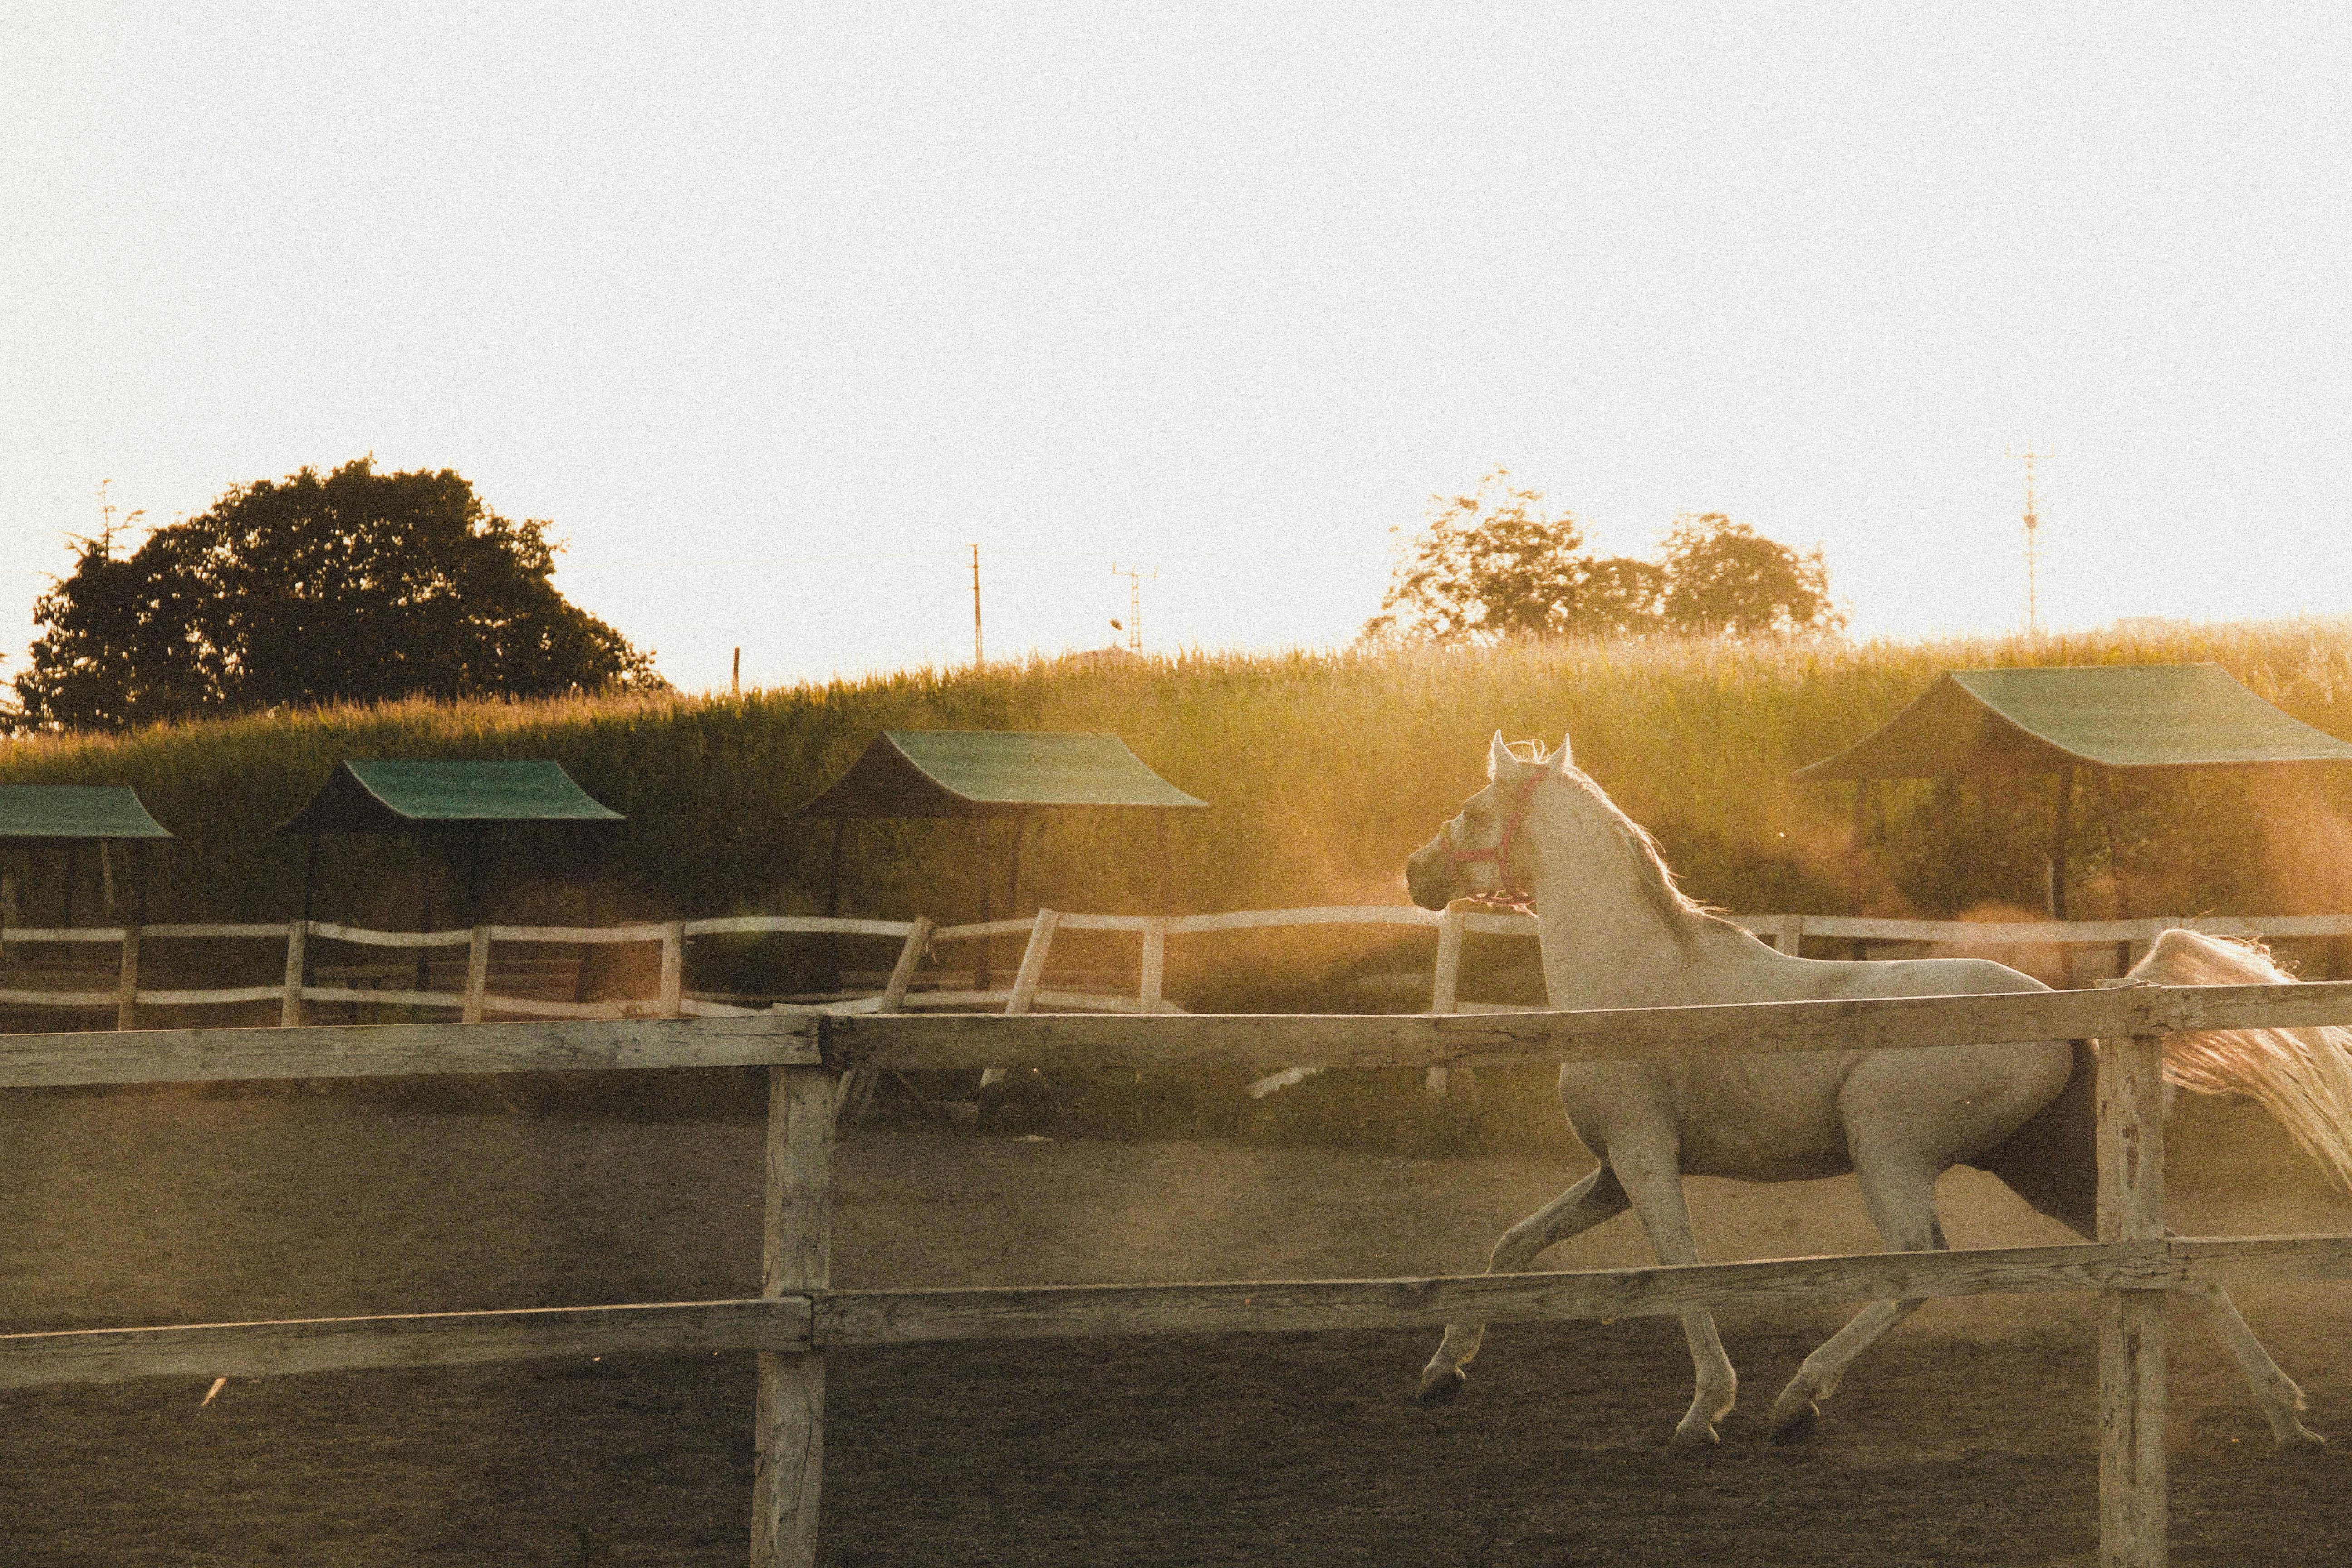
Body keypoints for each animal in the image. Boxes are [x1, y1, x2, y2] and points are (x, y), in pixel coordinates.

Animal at [1403, 731, 2352, 1450]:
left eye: (1474, 810)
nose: (1415, 872)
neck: (1633, 979)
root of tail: (2060, 1009)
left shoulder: (1644, 1159)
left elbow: (1678, 1270)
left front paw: (1705, 1409)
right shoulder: (1607, 1172)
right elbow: (1509, 1248)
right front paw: (1442, 1370)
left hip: (1884, 1145)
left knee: (1916, 1263)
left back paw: (1799, 1398)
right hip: (2046, 1172)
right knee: (2177, 1261)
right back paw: (2285, 1417)